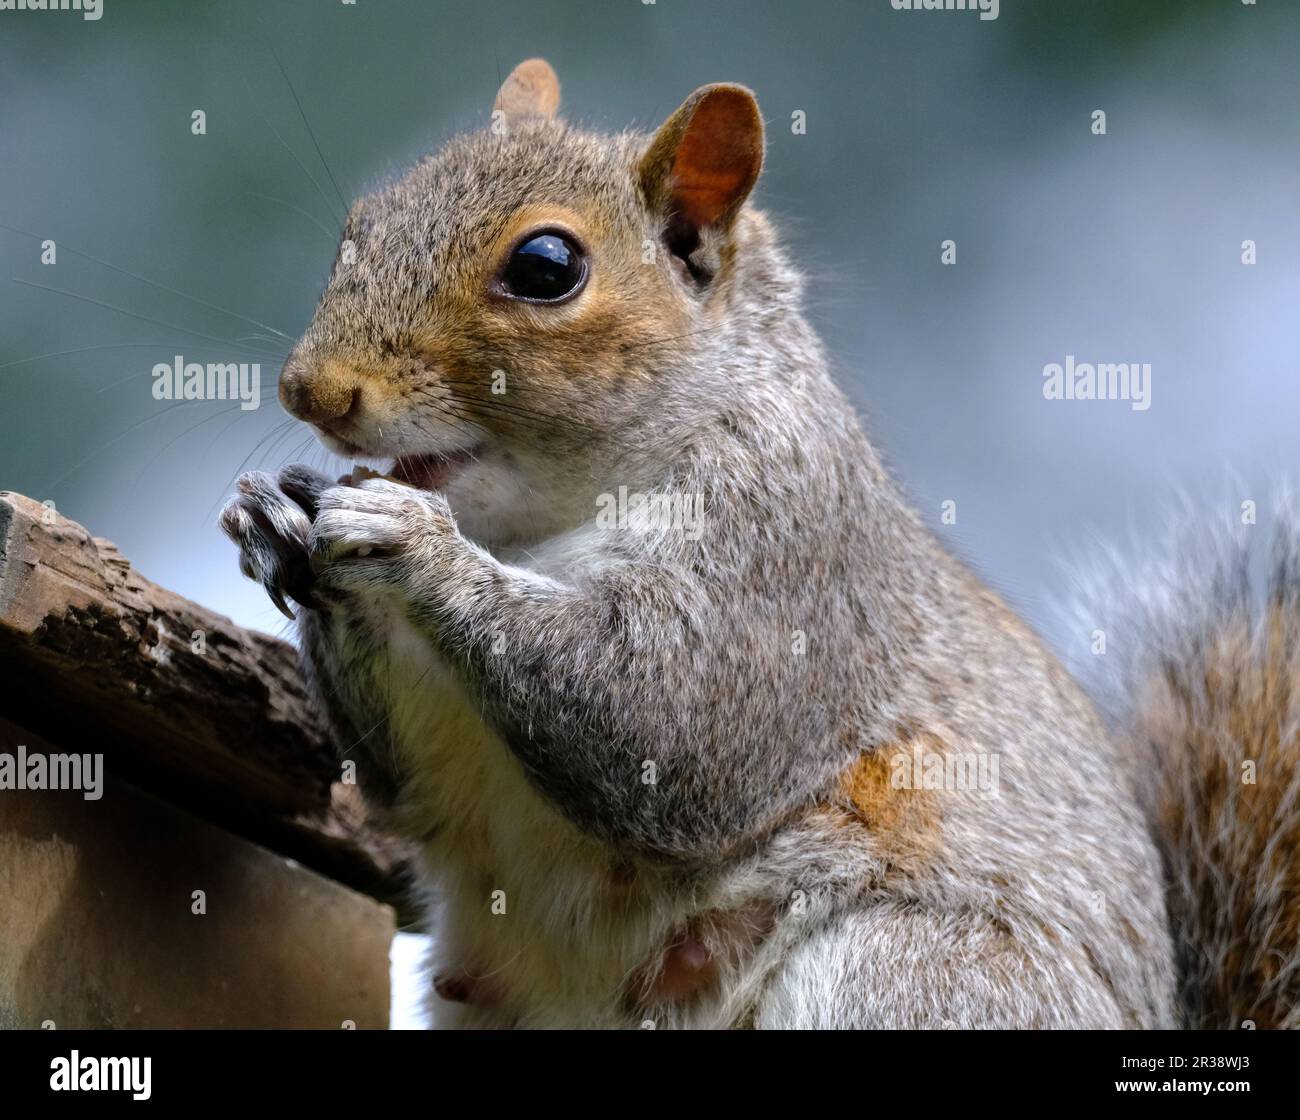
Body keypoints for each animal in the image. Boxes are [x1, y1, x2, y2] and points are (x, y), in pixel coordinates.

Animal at [220, 59, 1300, 1029]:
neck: (536, 527)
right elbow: (401, 781)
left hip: (913, 972)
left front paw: (412, 543)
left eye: (545, 268)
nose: (311, 392)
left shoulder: (790, 560)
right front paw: (278, 520)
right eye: (358, 227)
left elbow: (667, 719)